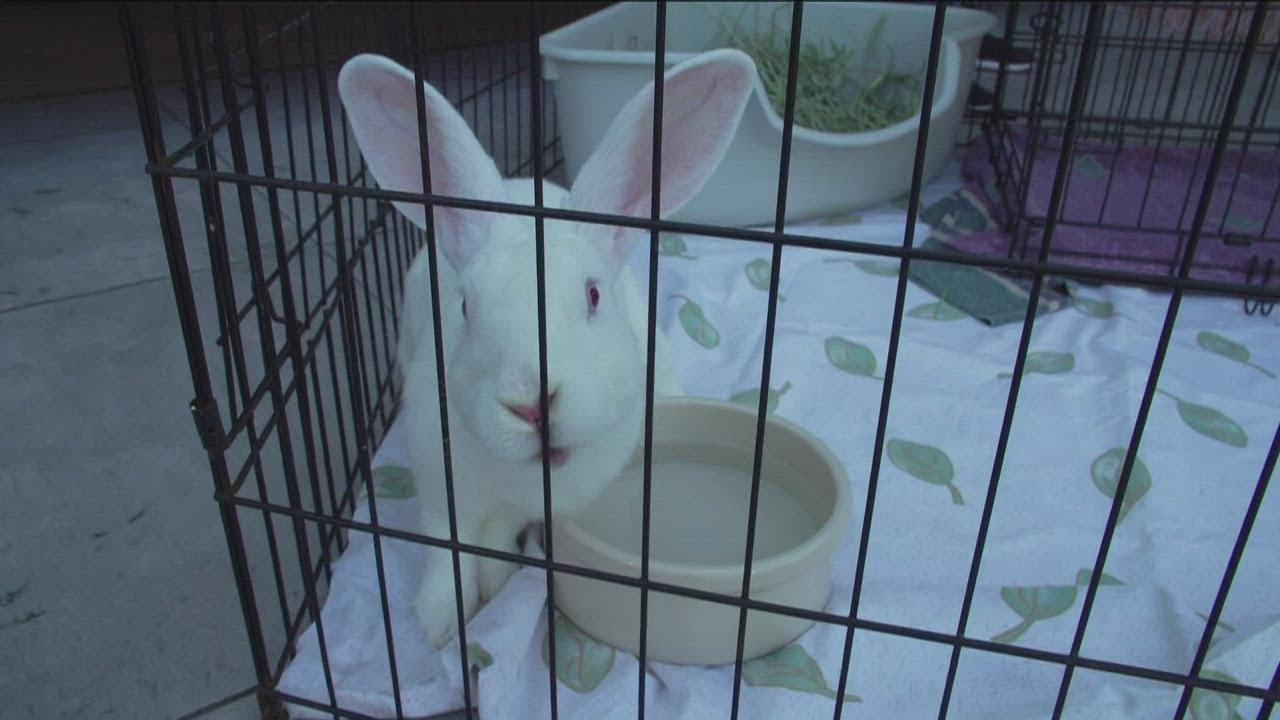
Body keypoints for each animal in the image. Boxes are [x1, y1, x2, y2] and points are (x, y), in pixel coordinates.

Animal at [337, 48, 756, 647]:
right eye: (465, 308)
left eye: (593, 295)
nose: (531, 405)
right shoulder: (440, 480)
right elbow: (448, 547)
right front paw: (440, 623)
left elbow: (493, 536)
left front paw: (492, 580)